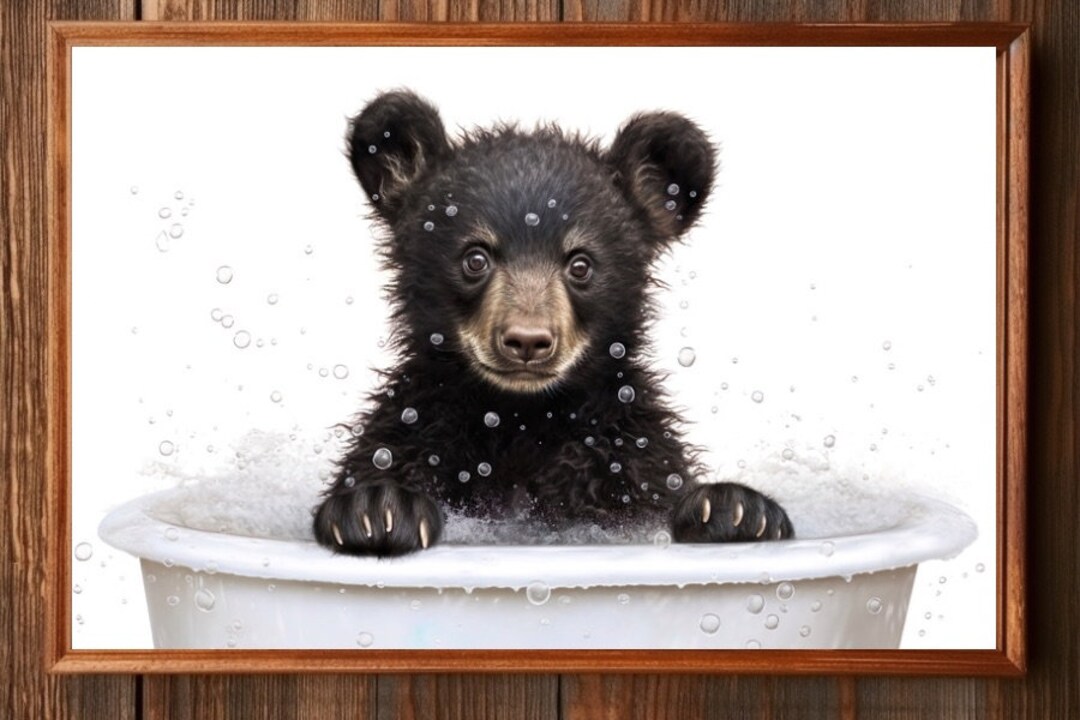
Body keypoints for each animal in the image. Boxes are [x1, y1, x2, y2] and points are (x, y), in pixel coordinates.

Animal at [312, 89, 793, 557]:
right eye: (475, 258)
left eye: (580, 264)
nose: (527, 341)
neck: (519, 419)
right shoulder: (415, 429)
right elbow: (386, 458)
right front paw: (377, 507)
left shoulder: (626, 454)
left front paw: (735, 509)